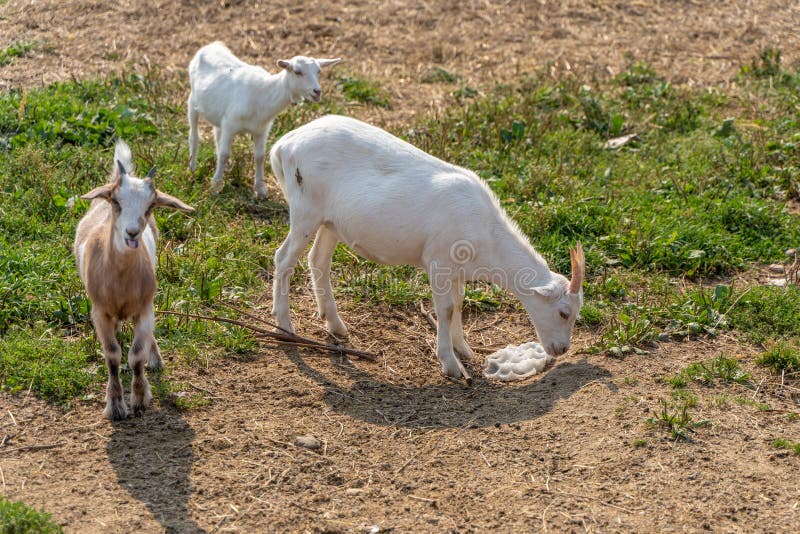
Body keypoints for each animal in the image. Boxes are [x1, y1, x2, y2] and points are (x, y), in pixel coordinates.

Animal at [75, 140, 194, 420]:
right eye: (117, 201)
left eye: (150, 206)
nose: (132, 233)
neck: (120, 280)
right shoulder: (100, 312)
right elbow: (112, 355)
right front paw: (116, 405)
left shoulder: (145, 309)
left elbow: (136, 355)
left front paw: (139, 399)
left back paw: (156, 359)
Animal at [187, 41, 341, 198]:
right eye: (297, 72)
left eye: (318, 71)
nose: (317, 92)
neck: (263, 95)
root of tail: (211, 45)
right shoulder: (230, 124)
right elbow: (224, 154)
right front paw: (216, 186)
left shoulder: (261, 129)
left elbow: (259, 156)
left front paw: (261, 189)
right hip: (193, 101)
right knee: (194, 136)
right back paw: (192, 167)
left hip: (218, 115)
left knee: (217, 135)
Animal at [269, 115, 585, 380]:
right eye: (563, 313)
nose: (562, 349)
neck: (487, 234)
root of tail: (283, 145)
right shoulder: (439, 261)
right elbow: (445, 309)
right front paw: (450, 364)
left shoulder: (458, 268)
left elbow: (458, 303)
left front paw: (464, 349)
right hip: (305, 210)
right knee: (284, 259)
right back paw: (285, 326)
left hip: (331, 222)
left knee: (318, 259)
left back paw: (335, 324)